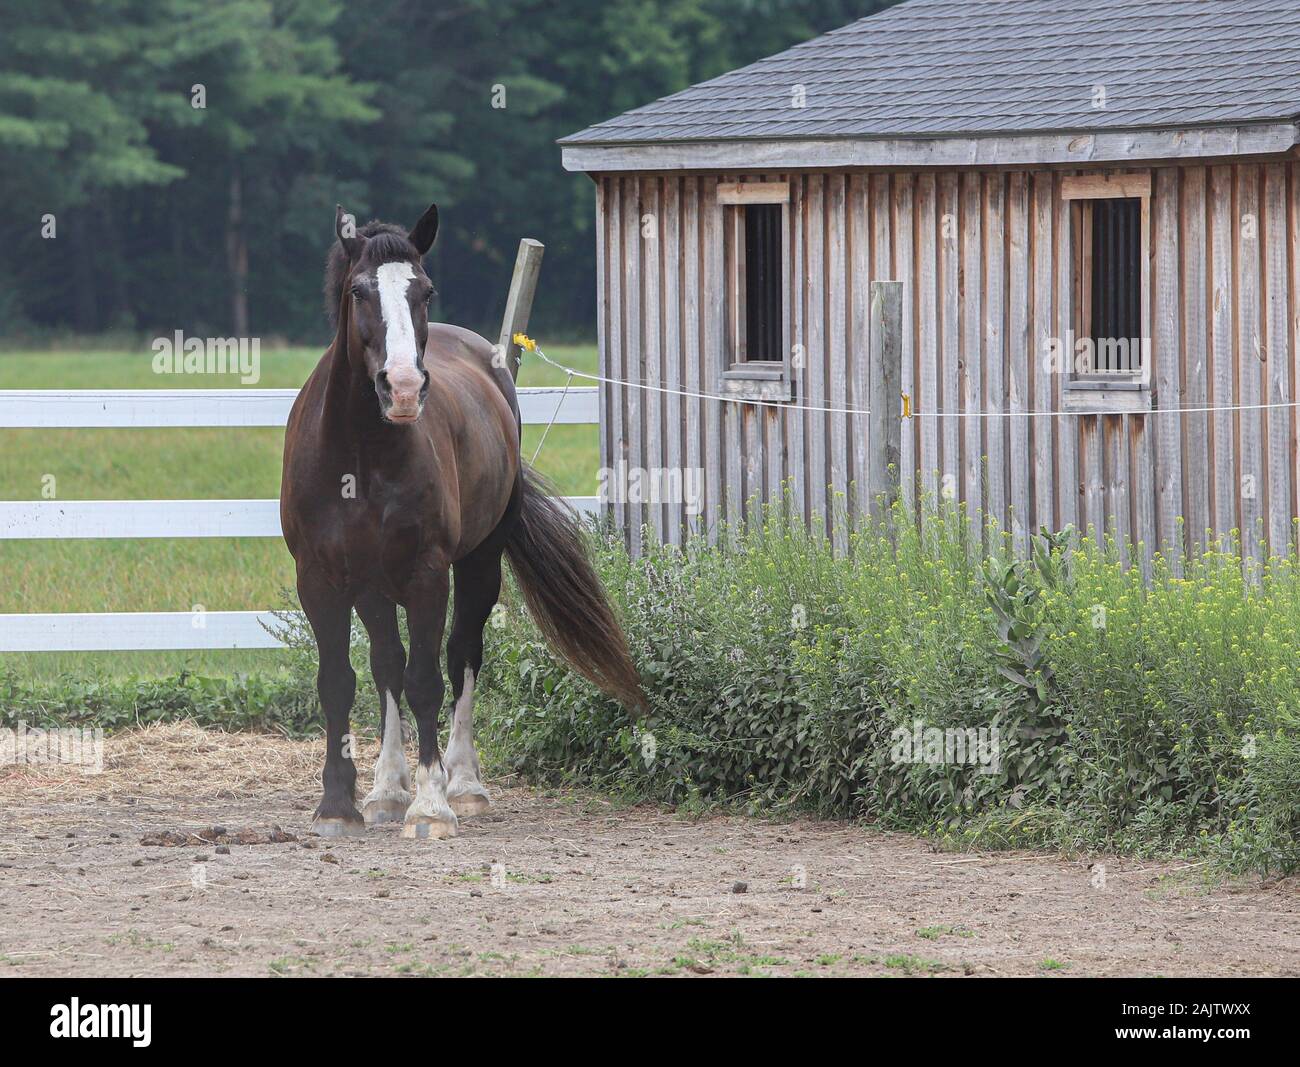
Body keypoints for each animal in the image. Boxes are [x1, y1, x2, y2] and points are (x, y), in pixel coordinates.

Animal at [280, 203, 644, 840]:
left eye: (425, 290)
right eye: (358, 291)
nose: (402, 388)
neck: (358, 456)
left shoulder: (429, 574)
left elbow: (429, 680)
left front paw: (431, 805)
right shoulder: (319, 579)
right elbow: (341, 682)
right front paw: (339, 805)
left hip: (478, 564)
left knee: (462, 656)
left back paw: (464, 783)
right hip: (374, 585)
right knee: (386, 666)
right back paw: (387, 789)